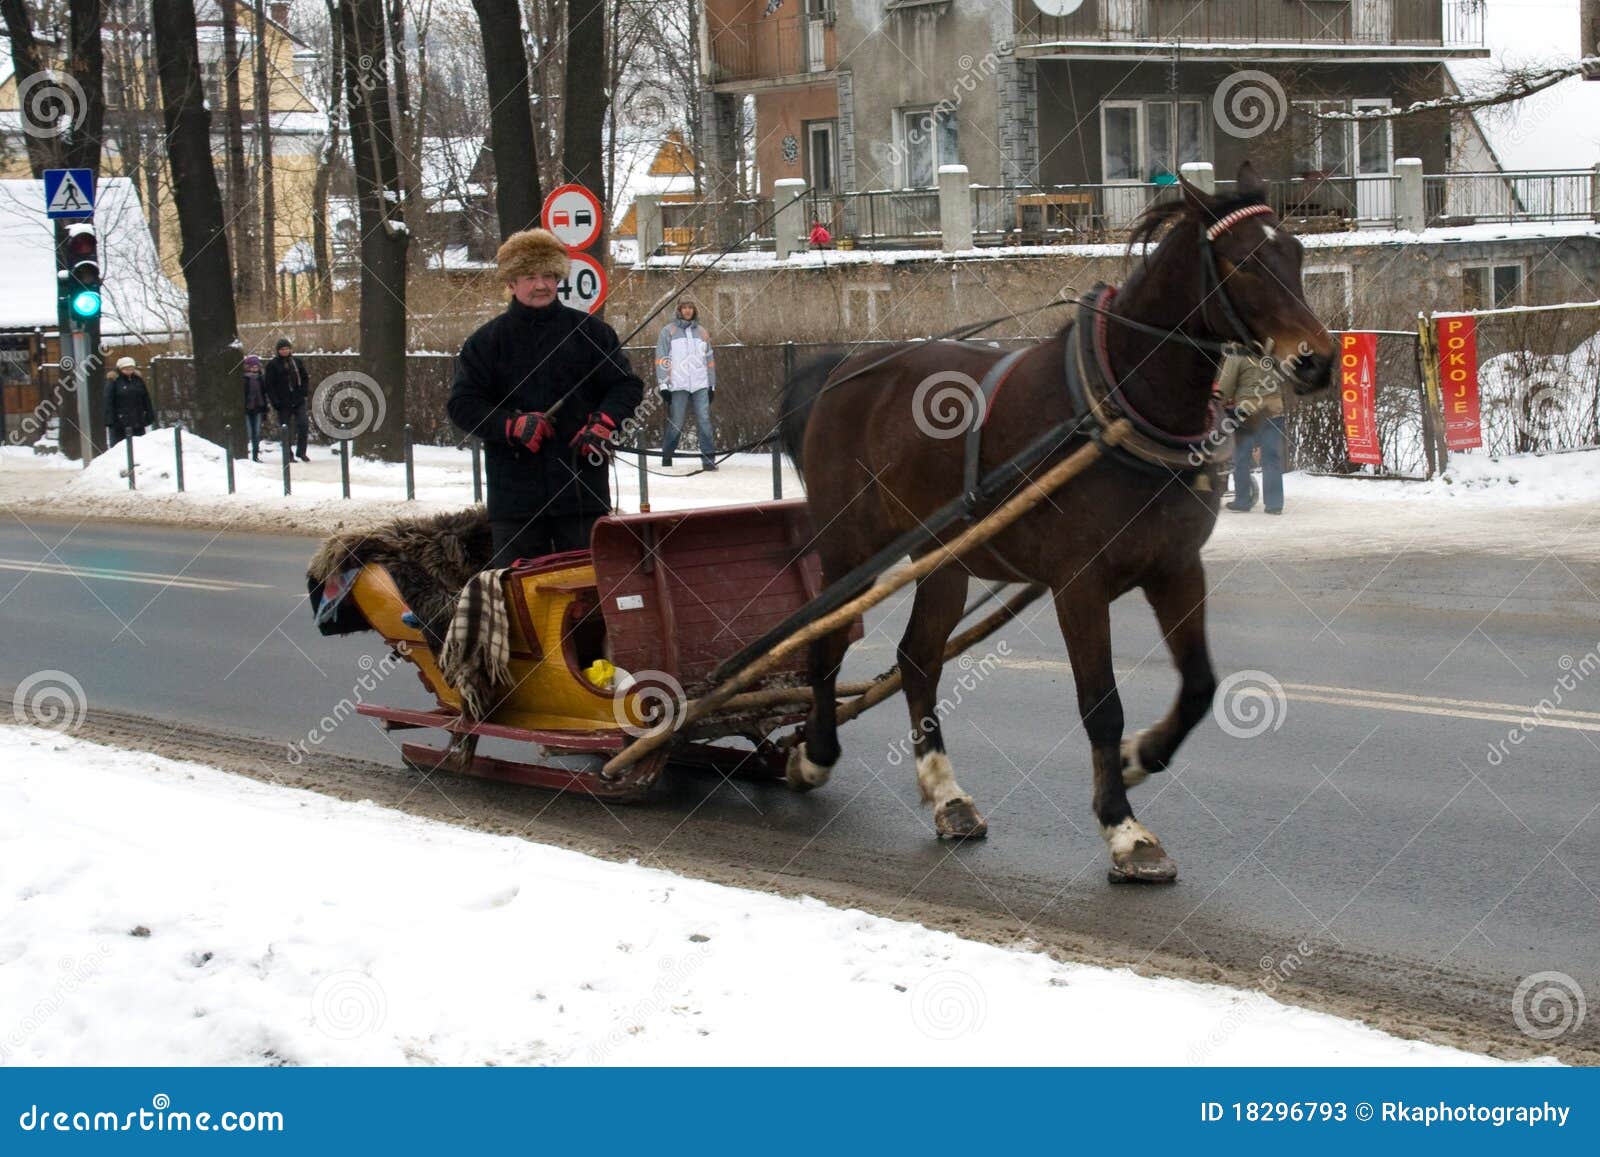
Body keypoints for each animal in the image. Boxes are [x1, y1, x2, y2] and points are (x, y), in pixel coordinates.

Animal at [777, 166, 1335, 883]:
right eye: (1243, 262)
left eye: (1295, 254)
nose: (1317, 360)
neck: (1120, 403)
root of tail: (843, 369)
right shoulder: (1079, 584)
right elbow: (1101, 703)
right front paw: (1124, 828)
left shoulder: (1176, 568)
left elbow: (1200, 686)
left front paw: (1139, 756)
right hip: (850, 549)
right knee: (825, 643)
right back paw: (815, 754)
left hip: (945, 560)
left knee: (918, 660)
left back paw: (947, 795)